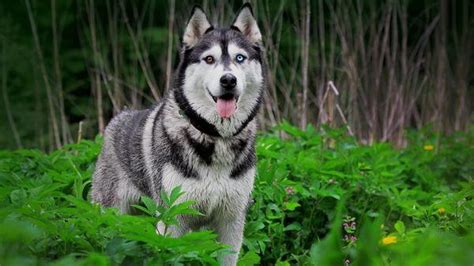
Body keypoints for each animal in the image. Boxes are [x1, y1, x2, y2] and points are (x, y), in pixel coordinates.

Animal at [90, 4, 264, 266]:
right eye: (209, 59)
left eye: (239, 58)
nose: (228, 80)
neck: (216, 138)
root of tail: (118, 118)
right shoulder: (172, 218)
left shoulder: (231, 221)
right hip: (111, 212)